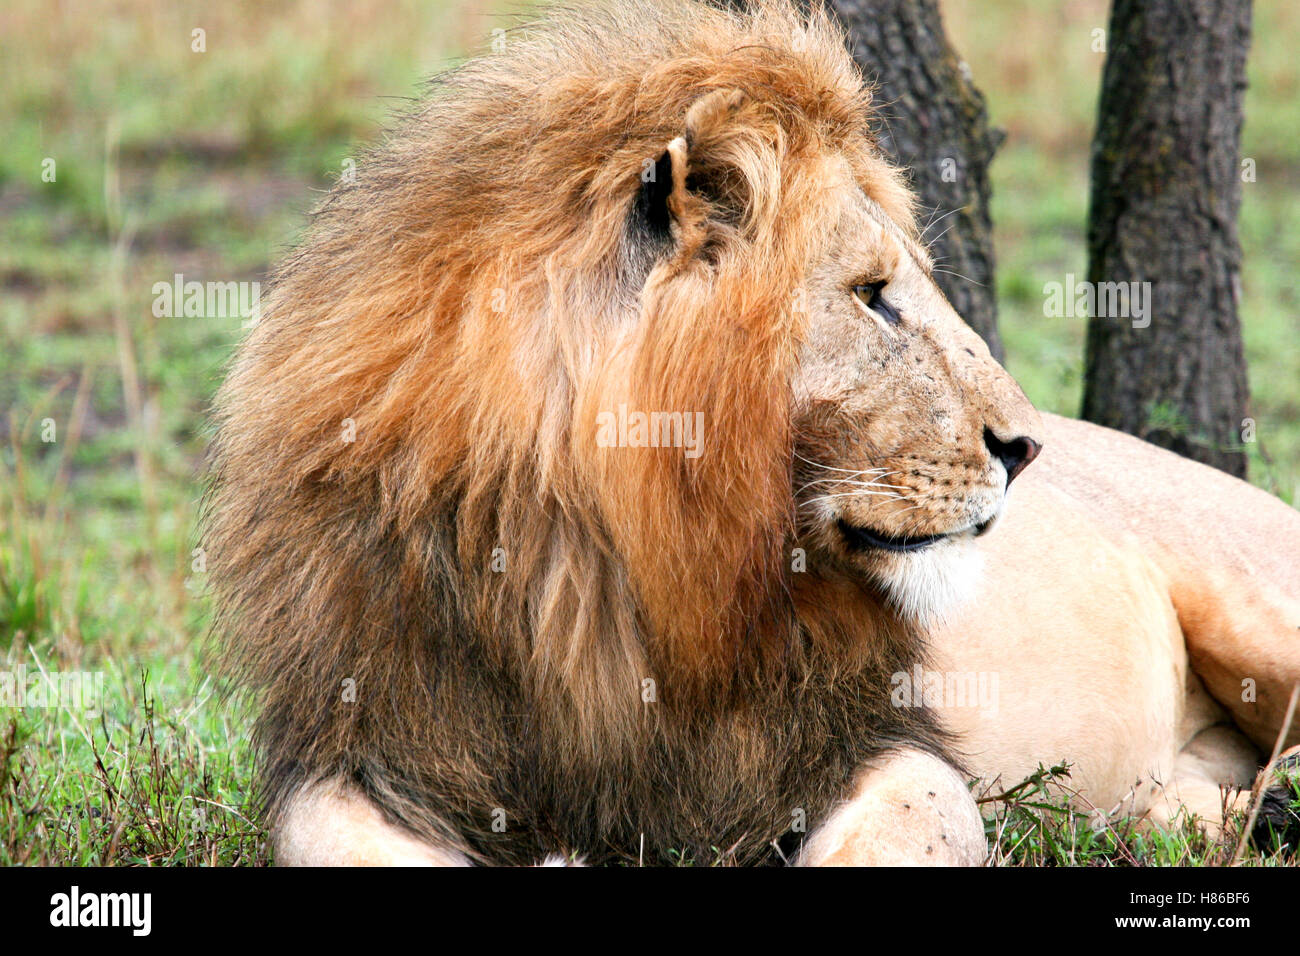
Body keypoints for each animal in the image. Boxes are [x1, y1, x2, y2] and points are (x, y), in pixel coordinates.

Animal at [205, 0, 1299, 866]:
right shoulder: (368, 742)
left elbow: (912, 818)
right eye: (872, 295)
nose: (1026, 446)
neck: (613, 563)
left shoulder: (870, 734)